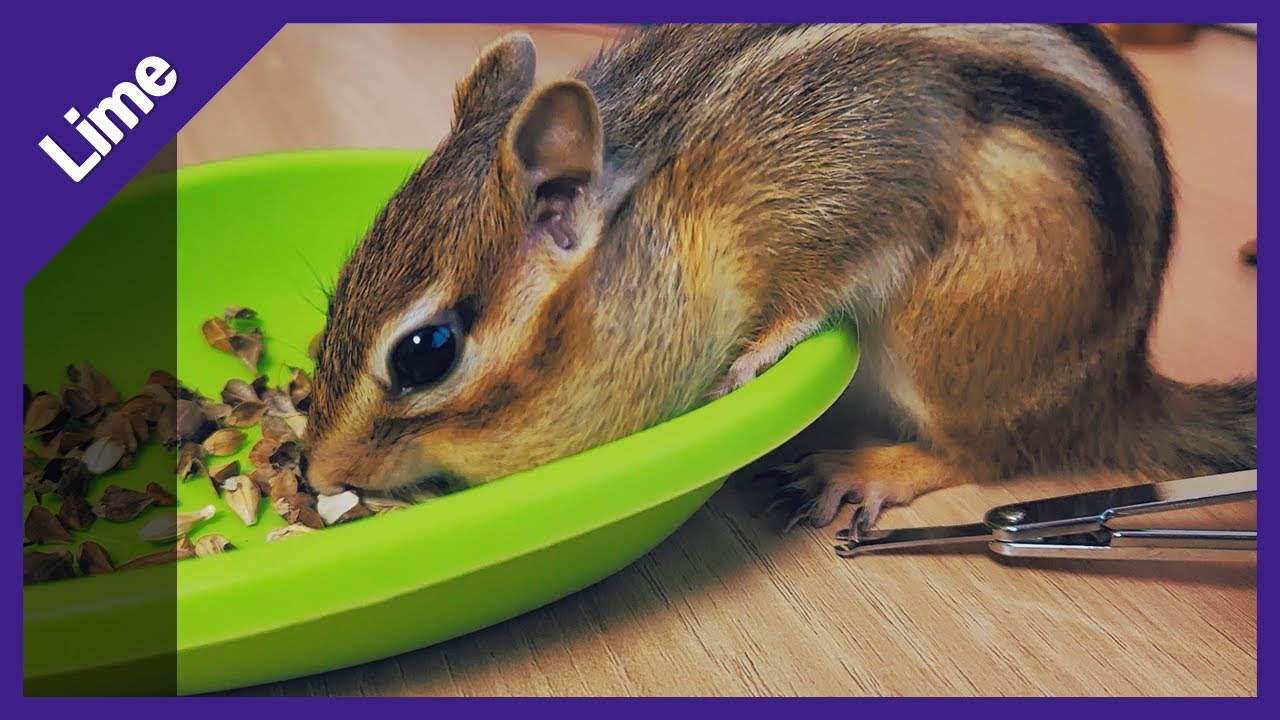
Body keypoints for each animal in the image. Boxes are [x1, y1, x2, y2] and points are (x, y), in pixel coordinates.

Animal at [302, 24, 1257, 536]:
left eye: (426, 351)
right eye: (332, 303)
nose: (316, 470)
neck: (658, 204)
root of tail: (1115, 384)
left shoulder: (855, 177)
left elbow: (822, 279)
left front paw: (753, 355)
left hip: (947, 337)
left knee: (992, 453)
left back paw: (868, 467)